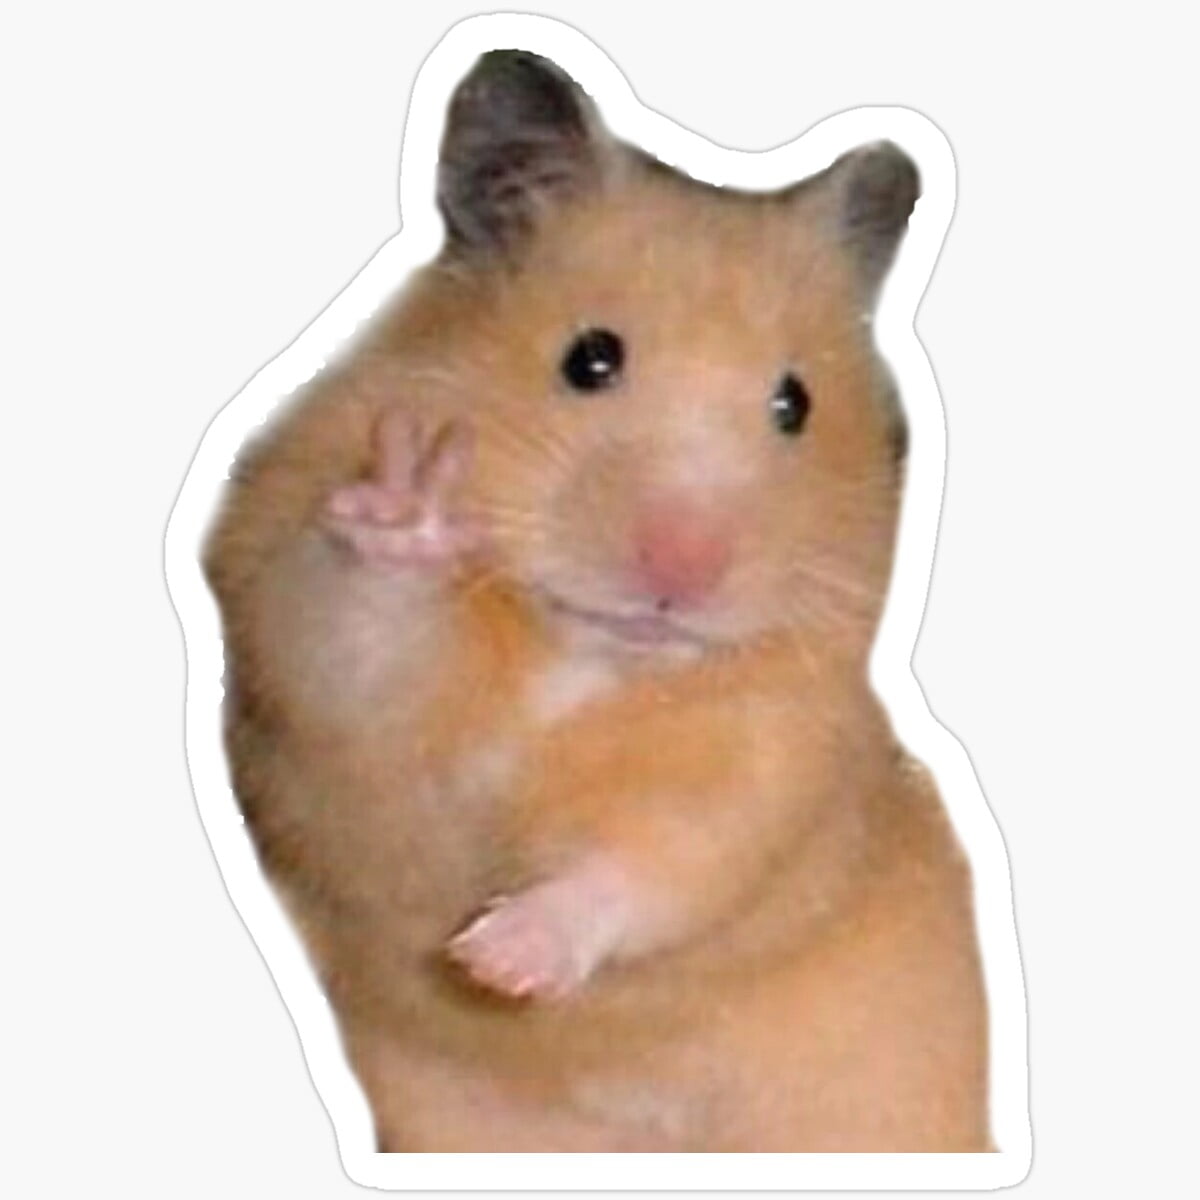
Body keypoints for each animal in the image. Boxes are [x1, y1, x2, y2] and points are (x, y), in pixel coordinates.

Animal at [203, 50, 989, 1152]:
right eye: (590, 358)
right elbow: (359, 635)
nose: (680, 572)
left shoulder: (773, 756)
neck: (585, 655)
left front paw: (498, 961)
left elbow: (657, 862)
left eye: (794, 404)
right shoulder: (300, 646)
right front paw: (412, 504)